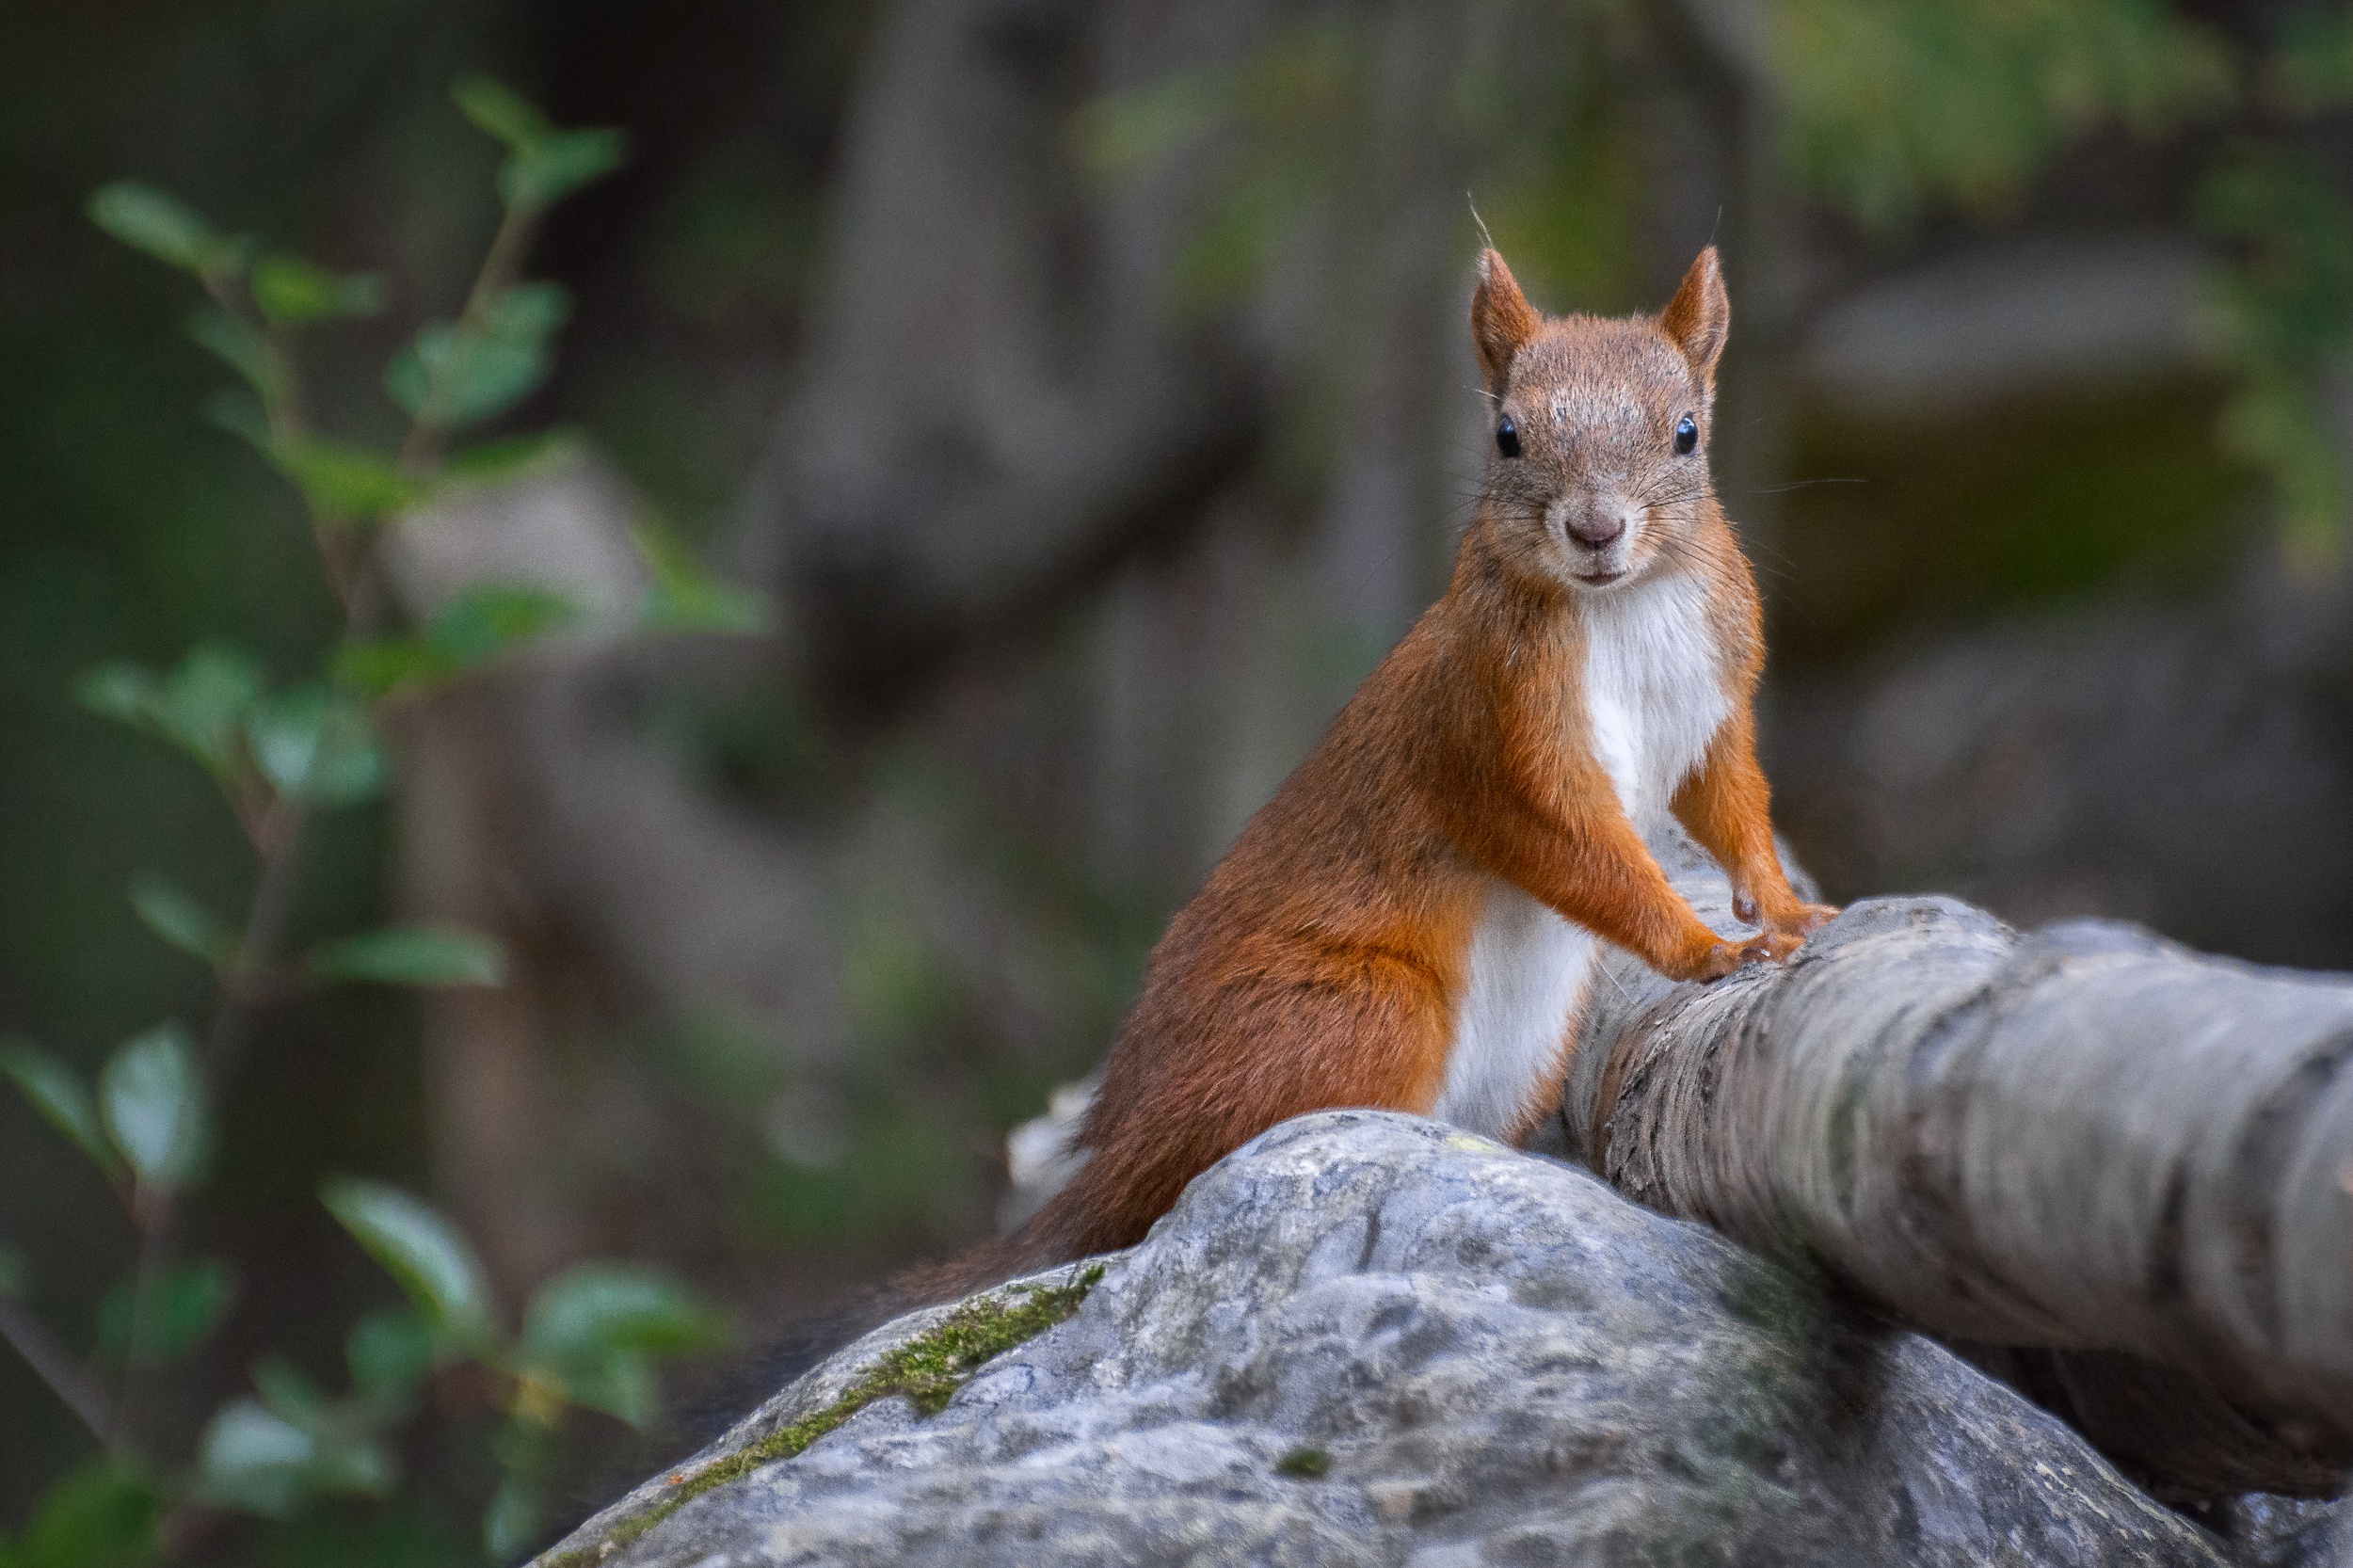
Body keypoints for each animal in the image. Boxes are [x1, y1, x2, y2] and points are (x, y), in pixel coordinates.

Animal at [771, 245, 1835, 1372]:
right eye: (1506, 433)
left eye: (1686, 432)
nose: (1595, 530)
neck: (1623, 607)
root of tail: (1117, 1148)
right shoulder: (1492, 738)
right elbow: (1582, 855)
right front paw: (1702, 948)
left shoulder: (1711, 707)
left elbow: (1730, 805)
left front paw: (1783, 907)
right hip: (1361, 1014)